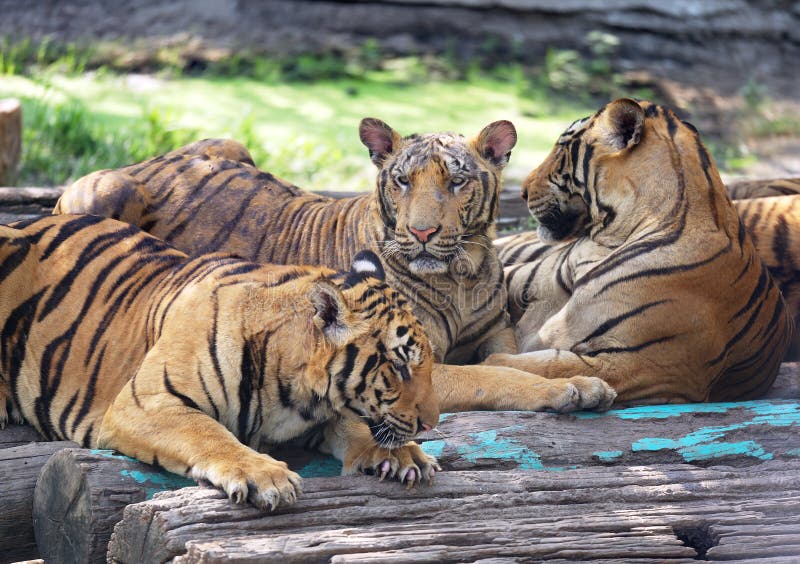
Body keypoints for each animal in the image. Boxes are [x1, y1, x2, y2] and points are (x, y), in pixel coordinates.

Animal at [0, 214, 442, 510]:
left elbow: (356, 425)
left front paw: (404, 456)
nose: (430, 423)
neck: (298, 395)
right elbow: (208, 433)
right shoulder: (145, 403)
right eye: (399, 365)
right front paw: (265, 476)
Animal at [55, 126, 616, 413]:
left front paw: (586, 381)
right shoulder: (413, 364)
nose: (423, 232)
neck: (461, 274)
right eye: (403, 181)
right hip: (106, 191)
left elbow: (512, 361)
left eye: (456, 182)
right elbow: (490, 377)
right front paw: (570, 389)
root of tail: (147, 162)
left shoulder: (496, 334)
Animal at [490, 98, 793, 404]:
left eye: (562, 148)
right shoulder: (522, 279)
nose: (522, 192)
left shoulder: (644, 365)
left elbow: (542, 364)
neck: (608, 238)